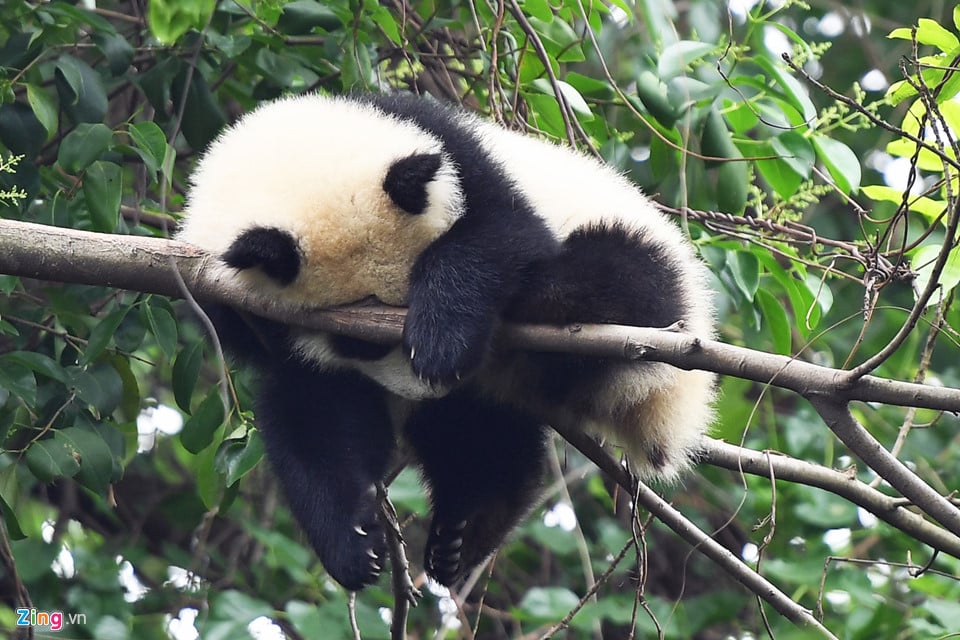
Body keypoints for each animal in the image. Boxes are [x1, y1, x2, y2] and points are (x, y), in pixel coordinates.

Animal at [177, 92, 716, 591]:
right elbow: (313, 415)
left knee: (619, 277)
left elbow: (501, 235)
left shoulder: (462, 156)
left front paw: (441, 339)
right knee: (478, 436)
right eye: (359, 342)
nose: (427, 386)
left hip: (649, 279)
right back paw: (468, 530)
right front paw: (353, 545)